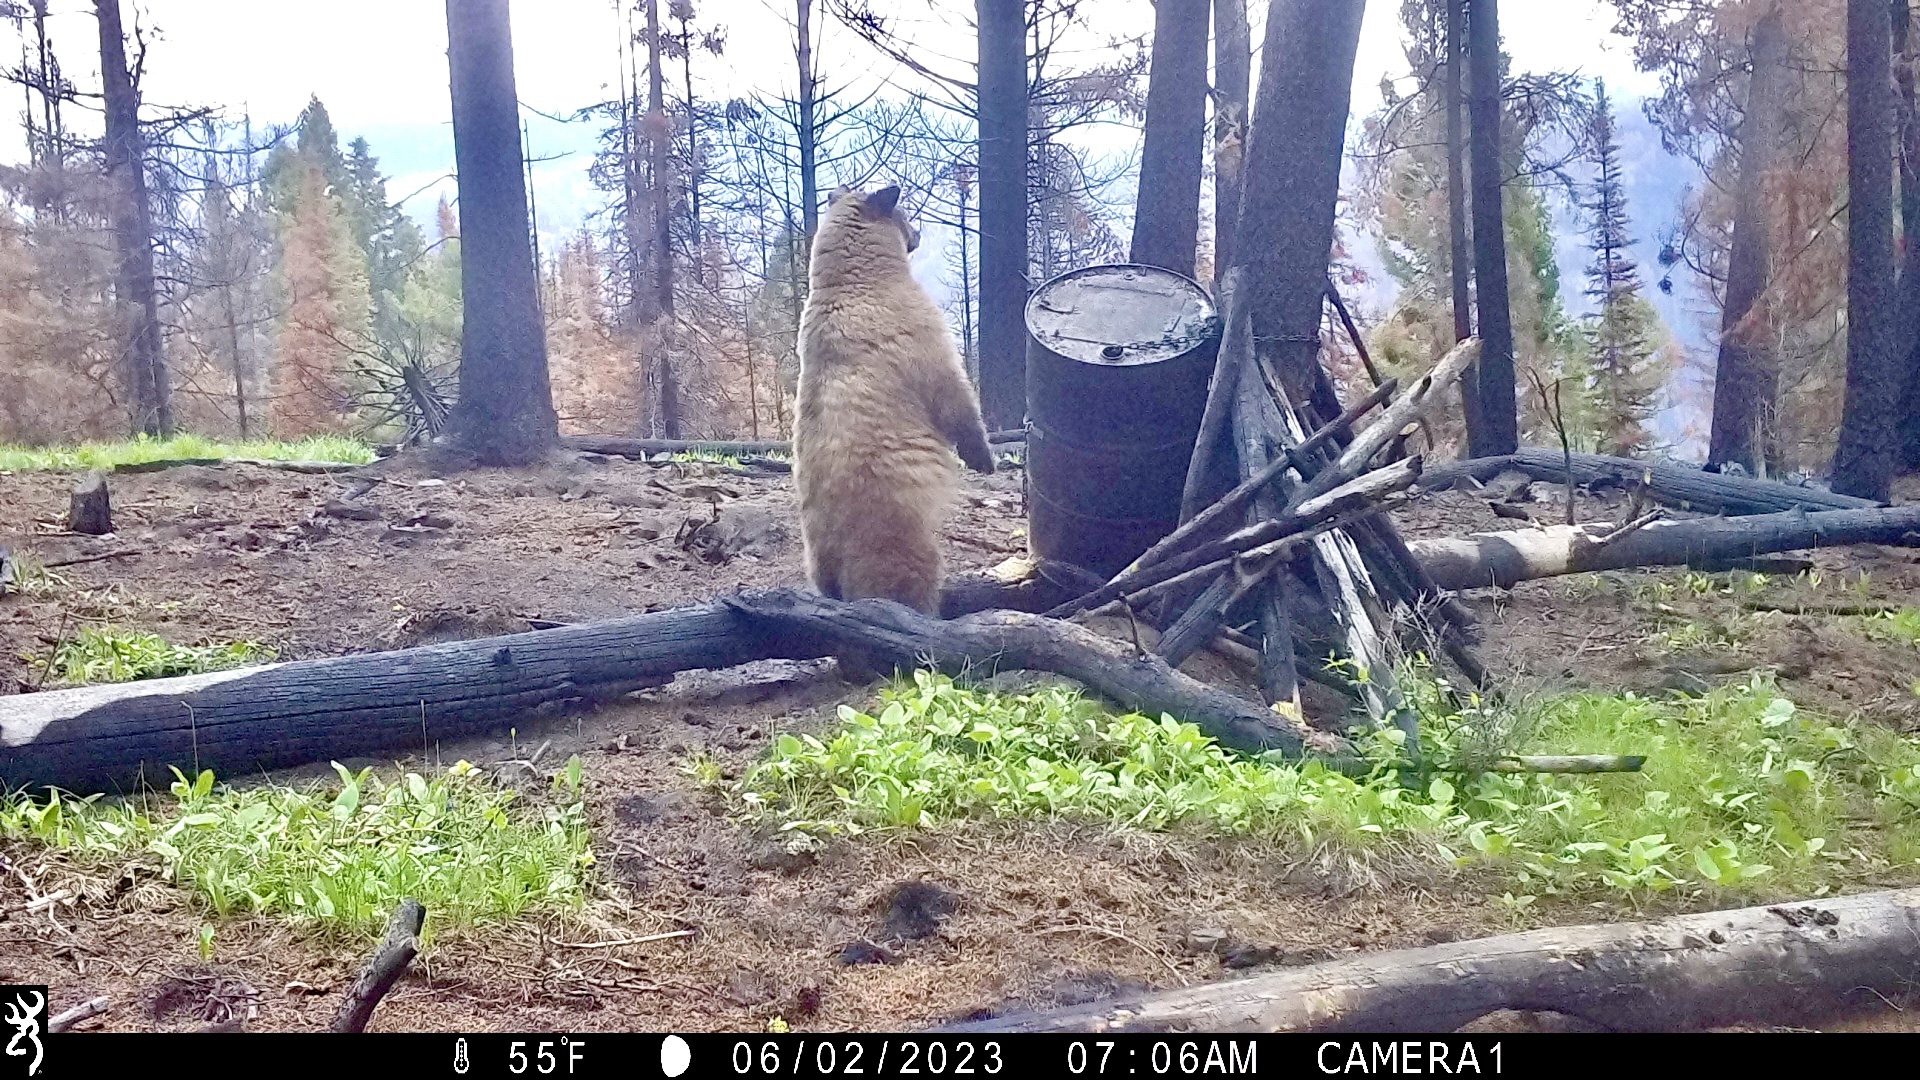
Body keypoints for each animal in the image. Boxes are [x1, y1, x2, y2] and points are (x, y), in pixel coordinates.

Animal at [793, 184, 995, 618]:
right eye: (903, 213)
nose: (918, 232)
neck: (858, 283)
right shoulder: (921, 340)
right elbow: (955, 399)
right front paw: (984, 458)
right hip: (898, 540)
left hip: (819, 559)